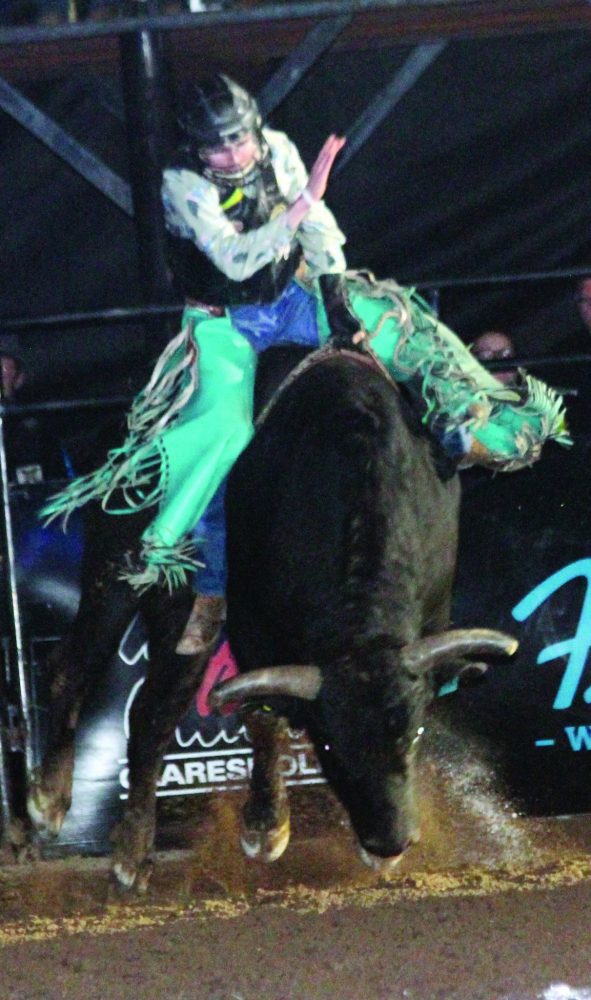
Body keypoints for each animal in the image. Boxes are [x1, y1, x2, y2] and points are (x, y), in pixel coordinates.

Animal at [26, 342, 515, 889]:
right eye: (329, 748)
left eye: (414, 733)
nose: (388, 843)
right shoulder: (253, 626)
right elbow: (264, 716)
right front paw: (266, 826)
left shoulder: (433, 614)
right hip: (124, 572)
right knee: (93, 677)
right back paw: (63, 809)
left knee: (150, 709)